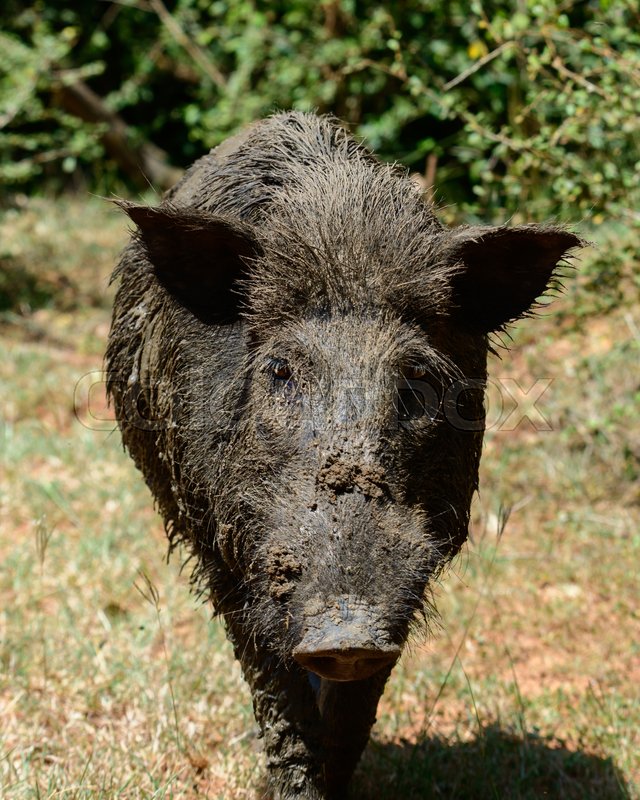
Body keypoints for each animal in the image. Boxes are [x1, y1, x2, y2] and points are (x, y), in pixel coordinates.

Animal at [106, 111, 581, 799]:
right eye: (280, 369)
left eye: (418, 378)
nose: (347, 632)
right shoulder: (225, 539)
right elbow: (275, 689)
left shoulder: (418, 557)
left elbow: (358, 704)